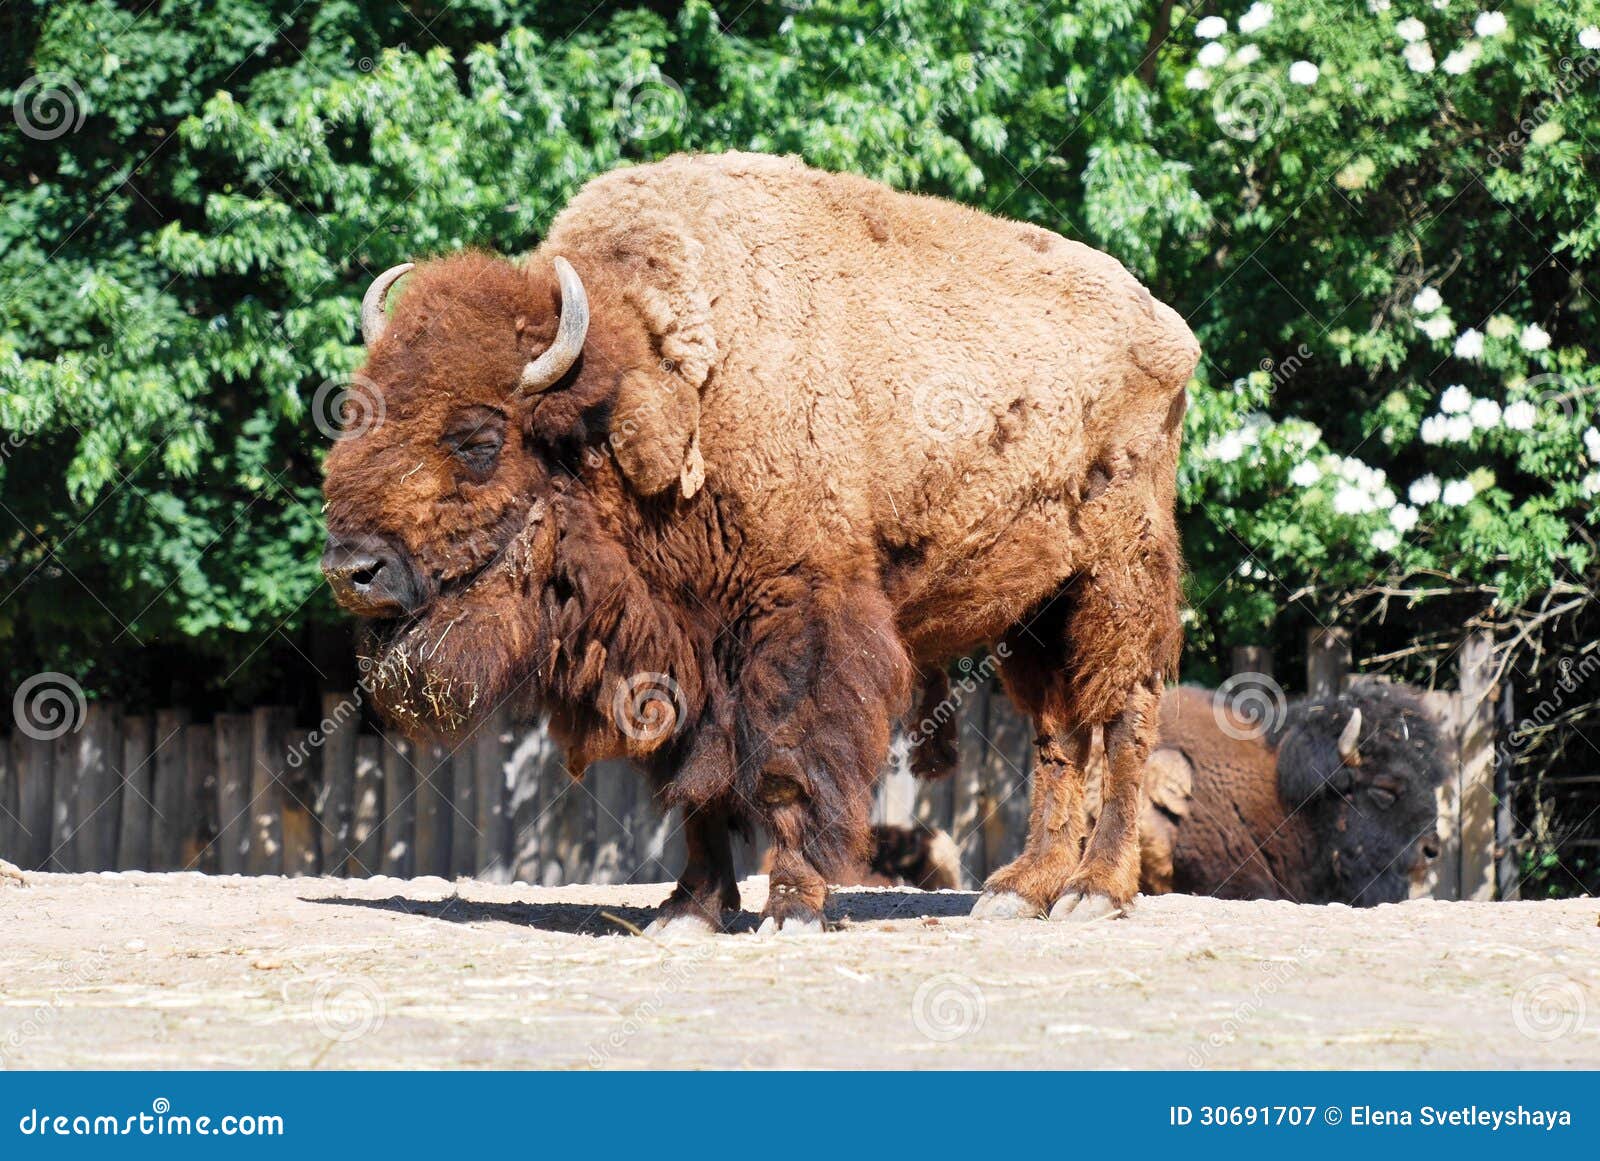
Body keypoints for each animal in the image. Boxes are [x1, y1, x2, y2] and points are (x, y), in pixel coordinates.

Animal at [321, 152, 1198, 933]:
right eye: (357, 415)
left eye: (478, 439)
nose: (351, 568)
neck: (655, 383)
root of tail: (1167, 326)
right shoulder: (679, 652)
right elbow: (695, 784)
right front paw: (689, 910)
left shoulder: (797, 620)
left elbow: (783, 765)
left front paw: (792, 908)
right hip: (1035, 606)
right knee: (1060, 735)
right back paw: (1020, 891)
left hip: (1115, 578)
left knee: (1125, 720)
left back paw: (1093, 892)